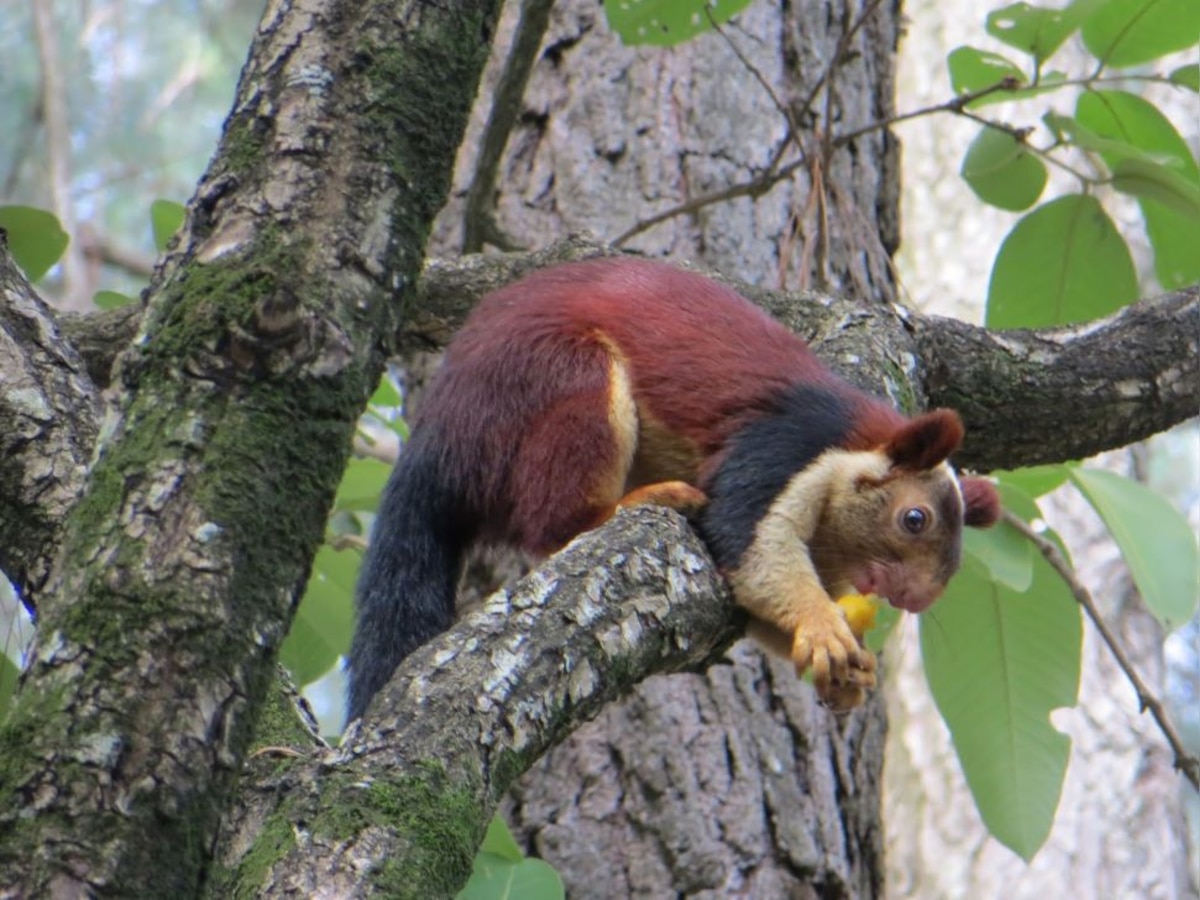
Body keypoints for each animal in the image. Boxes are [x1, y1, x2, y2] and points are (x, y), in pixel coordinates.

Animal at [346, 257, 1001, 721]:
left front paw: (850, 672)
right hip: (561, 380)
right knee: (550, 522)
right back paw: (636, 501)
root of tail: (439, 436)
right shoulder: (777, 450)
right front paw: (820, 623)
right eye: (913, 519)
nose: (915, 598)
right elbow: (752, 552)